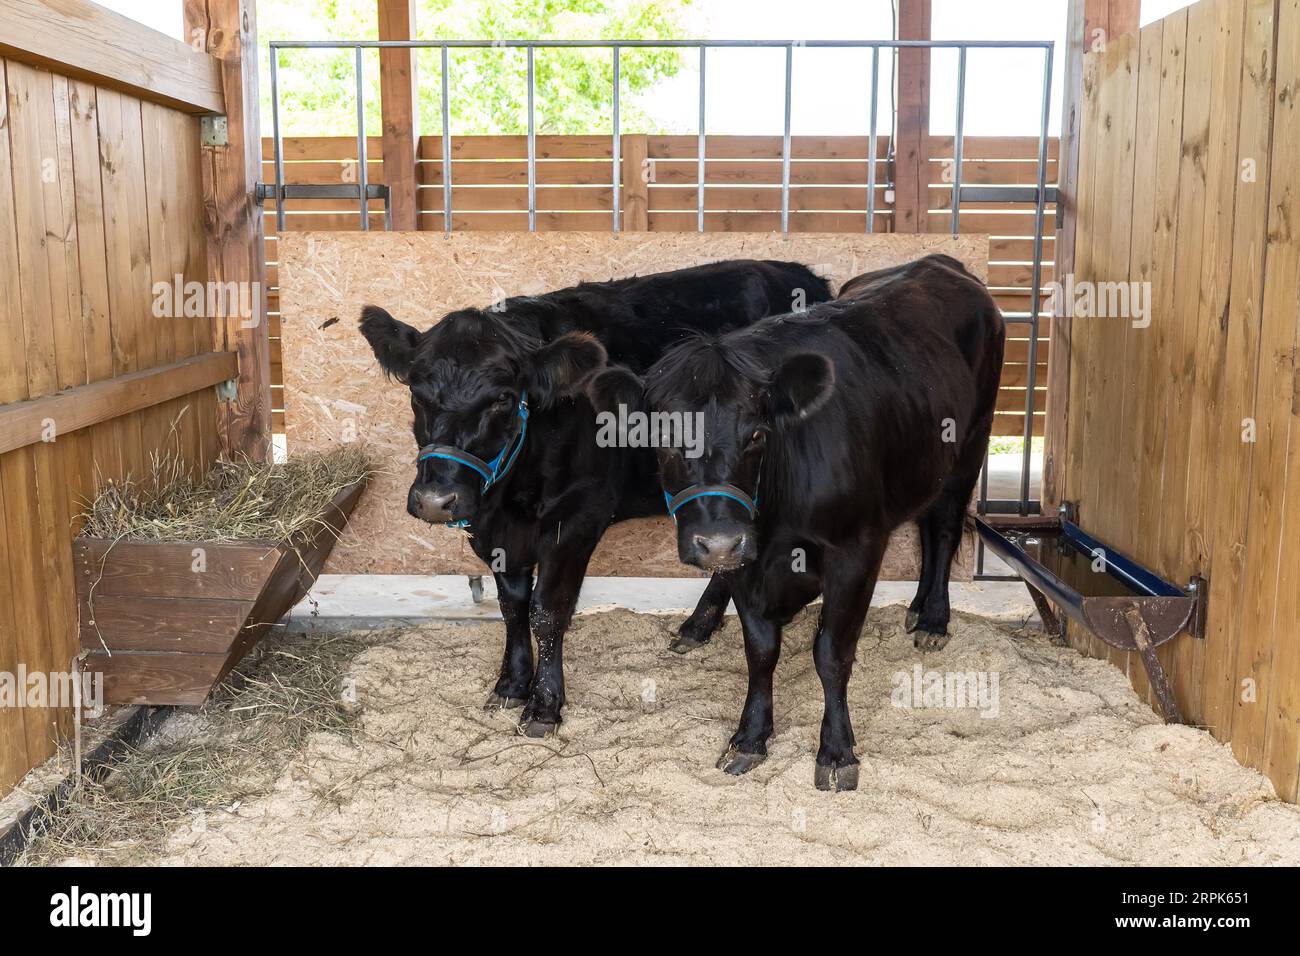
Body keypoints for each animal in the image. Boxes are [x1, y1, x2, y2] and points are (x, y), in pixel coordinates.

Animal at [360, 259, 832, 738]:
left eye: (502, 399)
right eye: (417, 394)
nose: (436, 499)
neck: (510, 499)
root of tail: (798, 272)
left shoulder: (578, 517)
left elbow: (547, 610)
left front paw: (544, 706)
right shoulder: (494, 532)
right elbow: (512, 607)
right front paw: (511, 684)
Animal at [587, 254, 1004, 790]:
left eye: (757, 435)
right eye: (661, 437)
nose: (718, 543)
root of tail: (937, 262)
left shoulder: (855, 548)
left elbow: (831, 652)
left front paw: (837, 753)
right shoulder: (748, 560)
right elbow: (761, 650)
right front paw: (749, 738)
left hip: (972, 442)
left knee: (943, 527)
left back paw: (933, 618)